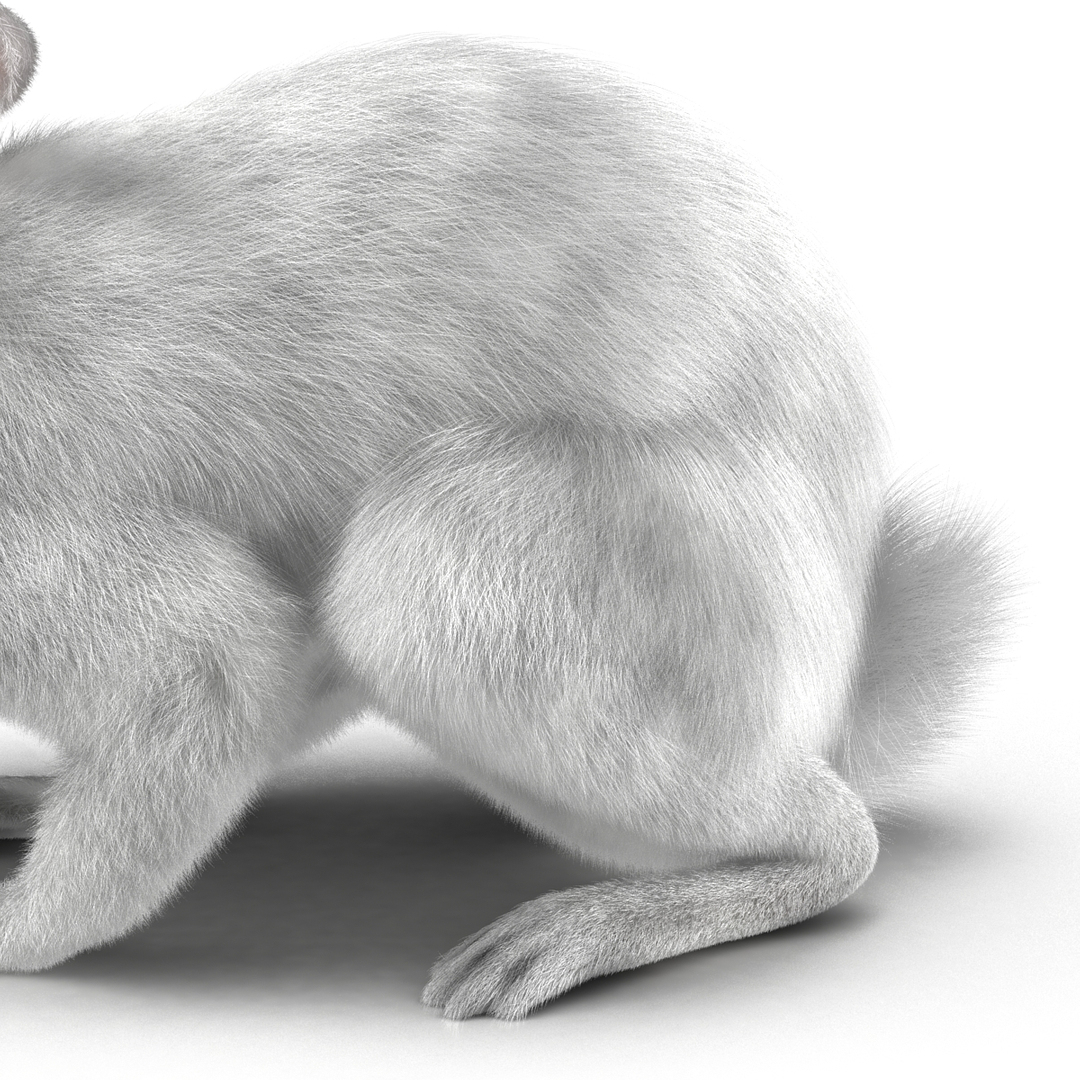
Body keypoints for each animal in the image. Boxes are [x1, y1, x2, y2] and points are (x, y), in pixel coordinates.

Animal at [0, 5, 1010, 1019]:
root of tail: (837, 682)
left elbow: (211, 668)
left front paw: (12, 934)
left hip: (508, 566)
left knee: (838, 834)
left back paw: (590, 926)